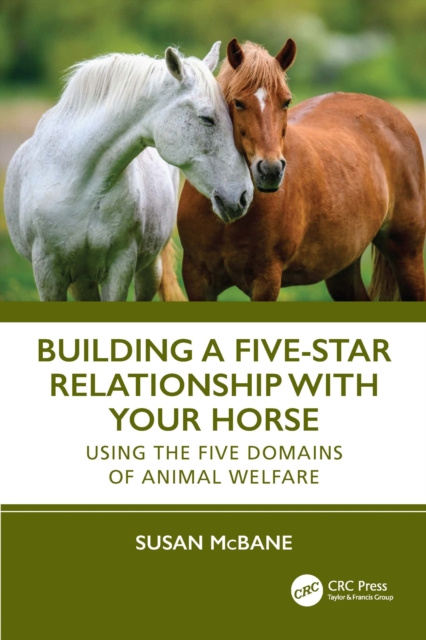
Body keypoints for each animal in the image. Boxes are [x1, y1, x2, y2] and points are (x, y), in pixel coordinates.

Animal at [4, 43, 253, 301]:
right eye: (207, 118)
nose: (244, 196)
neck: (77, 182)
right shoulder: (48, 274)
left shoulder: (119, 267)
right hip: (82, 280)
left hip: (148, 270)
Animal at [177, 39, 426, 301]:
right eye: (238, 102)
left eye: (286, 101)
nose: (270, 170)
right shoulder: (197, 280)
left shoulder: (266, 280)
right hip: (343, 268)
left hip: (407, 254)